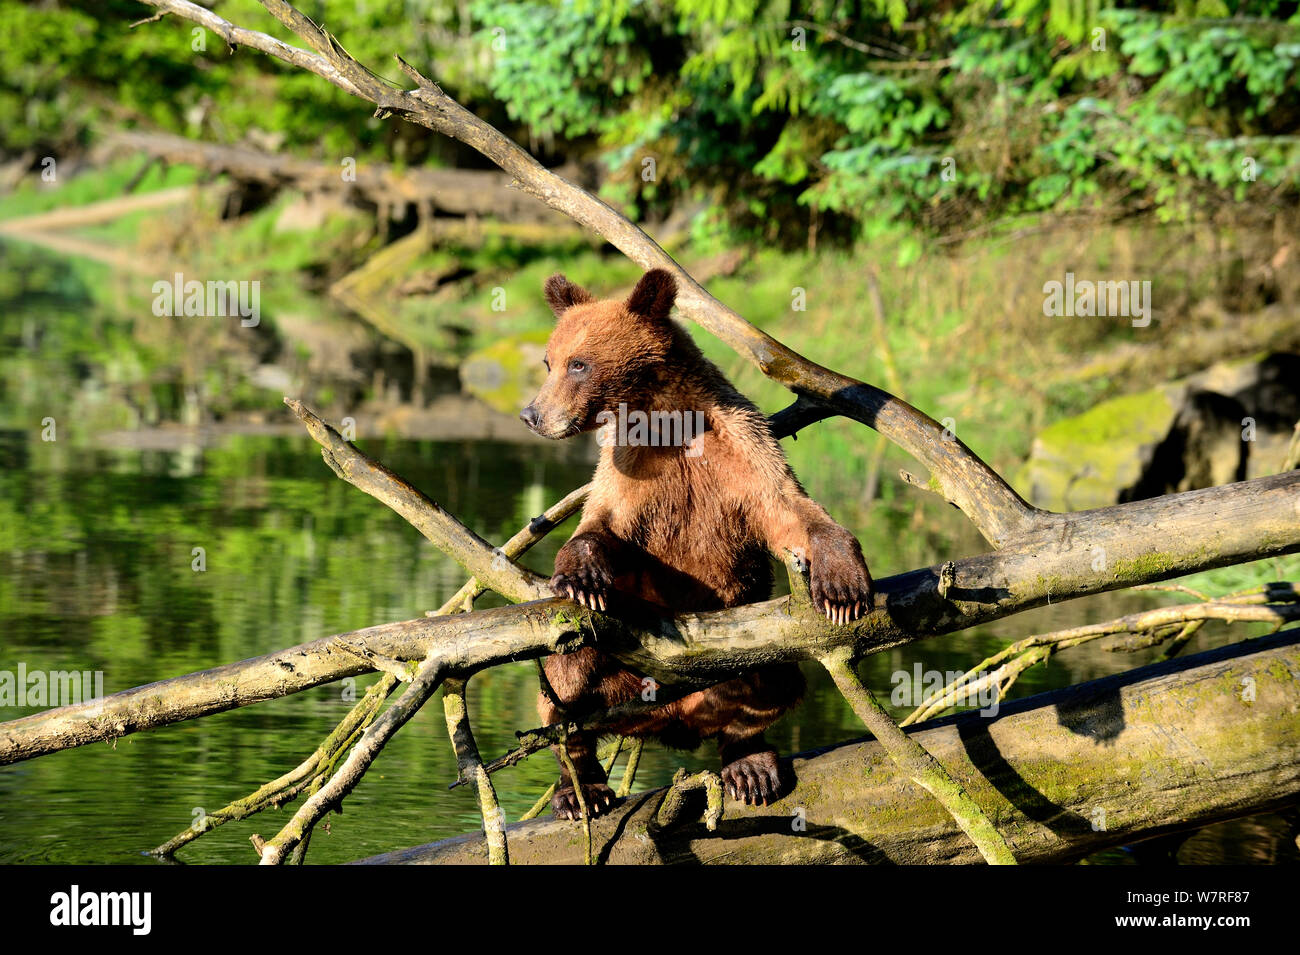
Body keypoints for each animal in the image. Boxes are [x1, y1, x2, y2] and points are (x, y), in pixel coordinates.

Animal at [519, 268, 873, 819]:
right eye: (549, 360)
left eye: (579, 363)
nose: (533, 414)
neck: (667, 419)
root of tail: (669, 718)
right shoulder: (630, 472)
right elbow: (601, 527)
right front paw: (579, 575)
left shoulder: (739, 451)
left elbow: (789, 509)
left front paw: (842, 584)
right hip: (613, 680)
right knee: (565, 682)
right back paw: (580, 788)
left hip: (741, 660)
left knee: (774, 678)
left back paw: (750, 763)